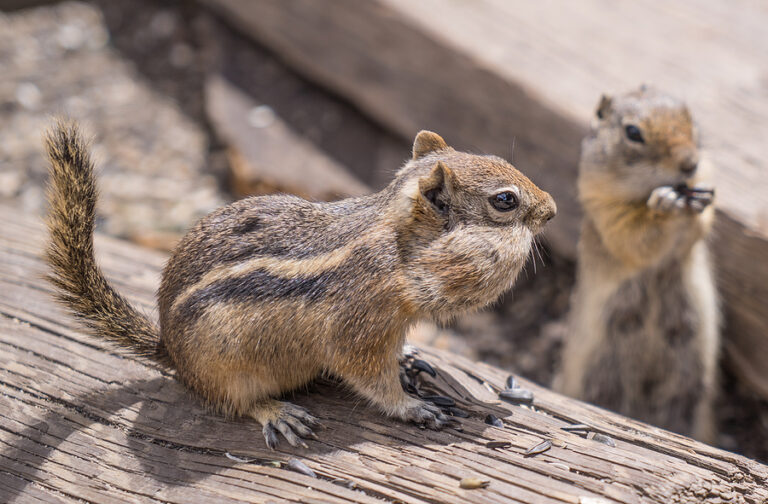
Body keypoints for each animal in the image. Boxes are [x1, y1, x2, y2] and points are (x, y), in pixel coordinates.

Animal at [44, 121, 556, 449]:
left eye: (497, 158)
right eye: (505, 201)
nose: (551, 209)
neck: (394, 241)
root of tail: (170, 352)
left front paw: (409, 359)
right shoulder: (358, 326)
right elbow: (368, 375)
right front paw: (411, 407)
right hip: (227, 366)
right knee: (232, 402)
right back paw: (278, 413)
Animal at [554, 86, 719, 442]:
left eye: (691, 121)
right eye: (633, 132)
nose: (690, 163)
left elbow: (699, 227)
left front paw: (701, 201)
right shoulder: (608, 212)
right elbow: (638, 237)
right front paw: (664, 205)